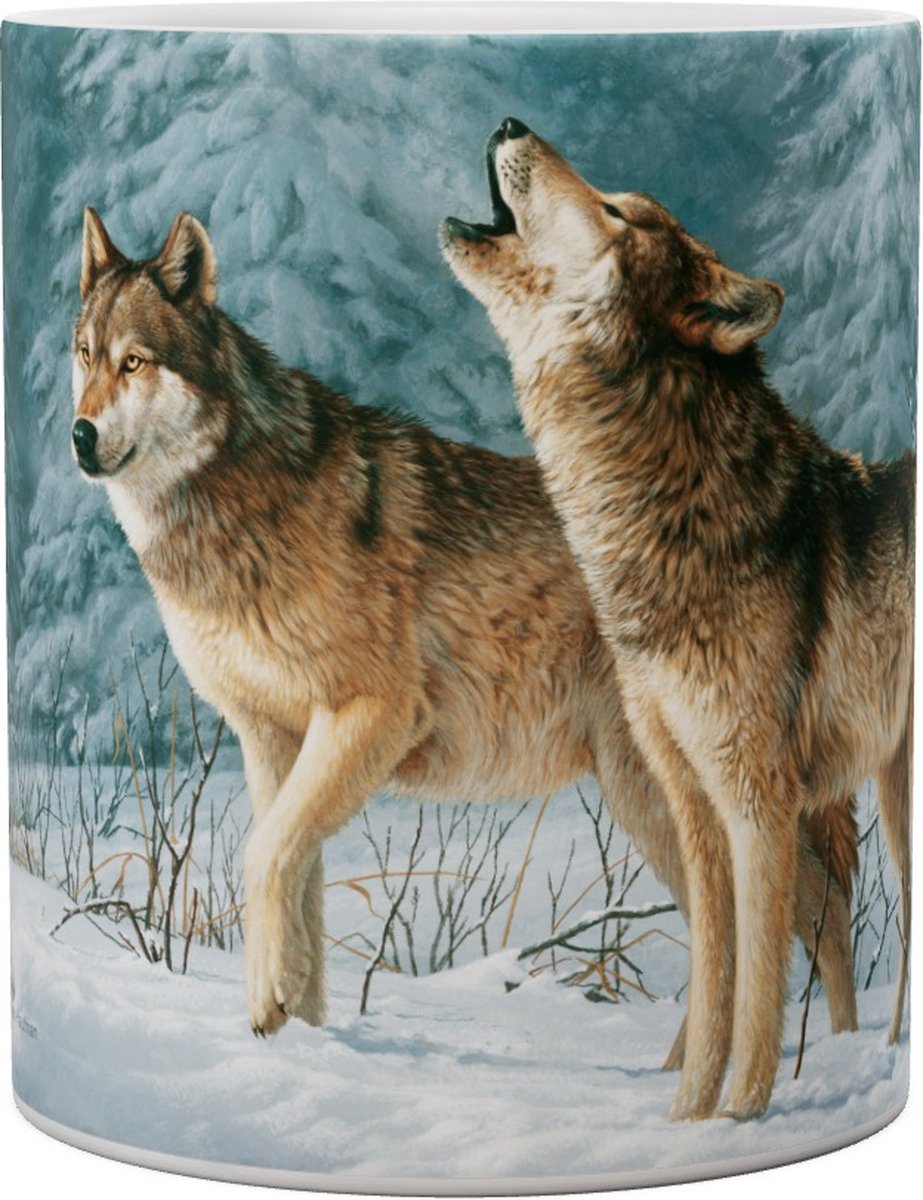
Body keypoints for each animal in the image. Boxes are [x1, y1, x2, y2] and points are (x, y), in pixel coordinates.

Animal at [73, 207, 859, 1053]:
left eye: (135, 362)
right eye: (84, 355)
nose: (79, 435)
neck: (236, 509)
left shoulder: (374, 715)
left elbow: (264, 856)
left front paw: (271, 1005)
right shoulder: (271, 739)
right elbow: (299, 883)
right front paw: (301, 1031)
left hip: (668, 797)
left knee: (809, 914)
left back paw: (822, 1058)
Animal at [441, 119, 912, 1120]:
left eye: (620, 213)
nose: (507, 124)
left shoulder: (756, 802)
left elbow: (759, 991)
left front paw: (739, 1120)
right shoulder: (693, 802)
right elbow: (716, 988)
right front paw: (686, 1123)